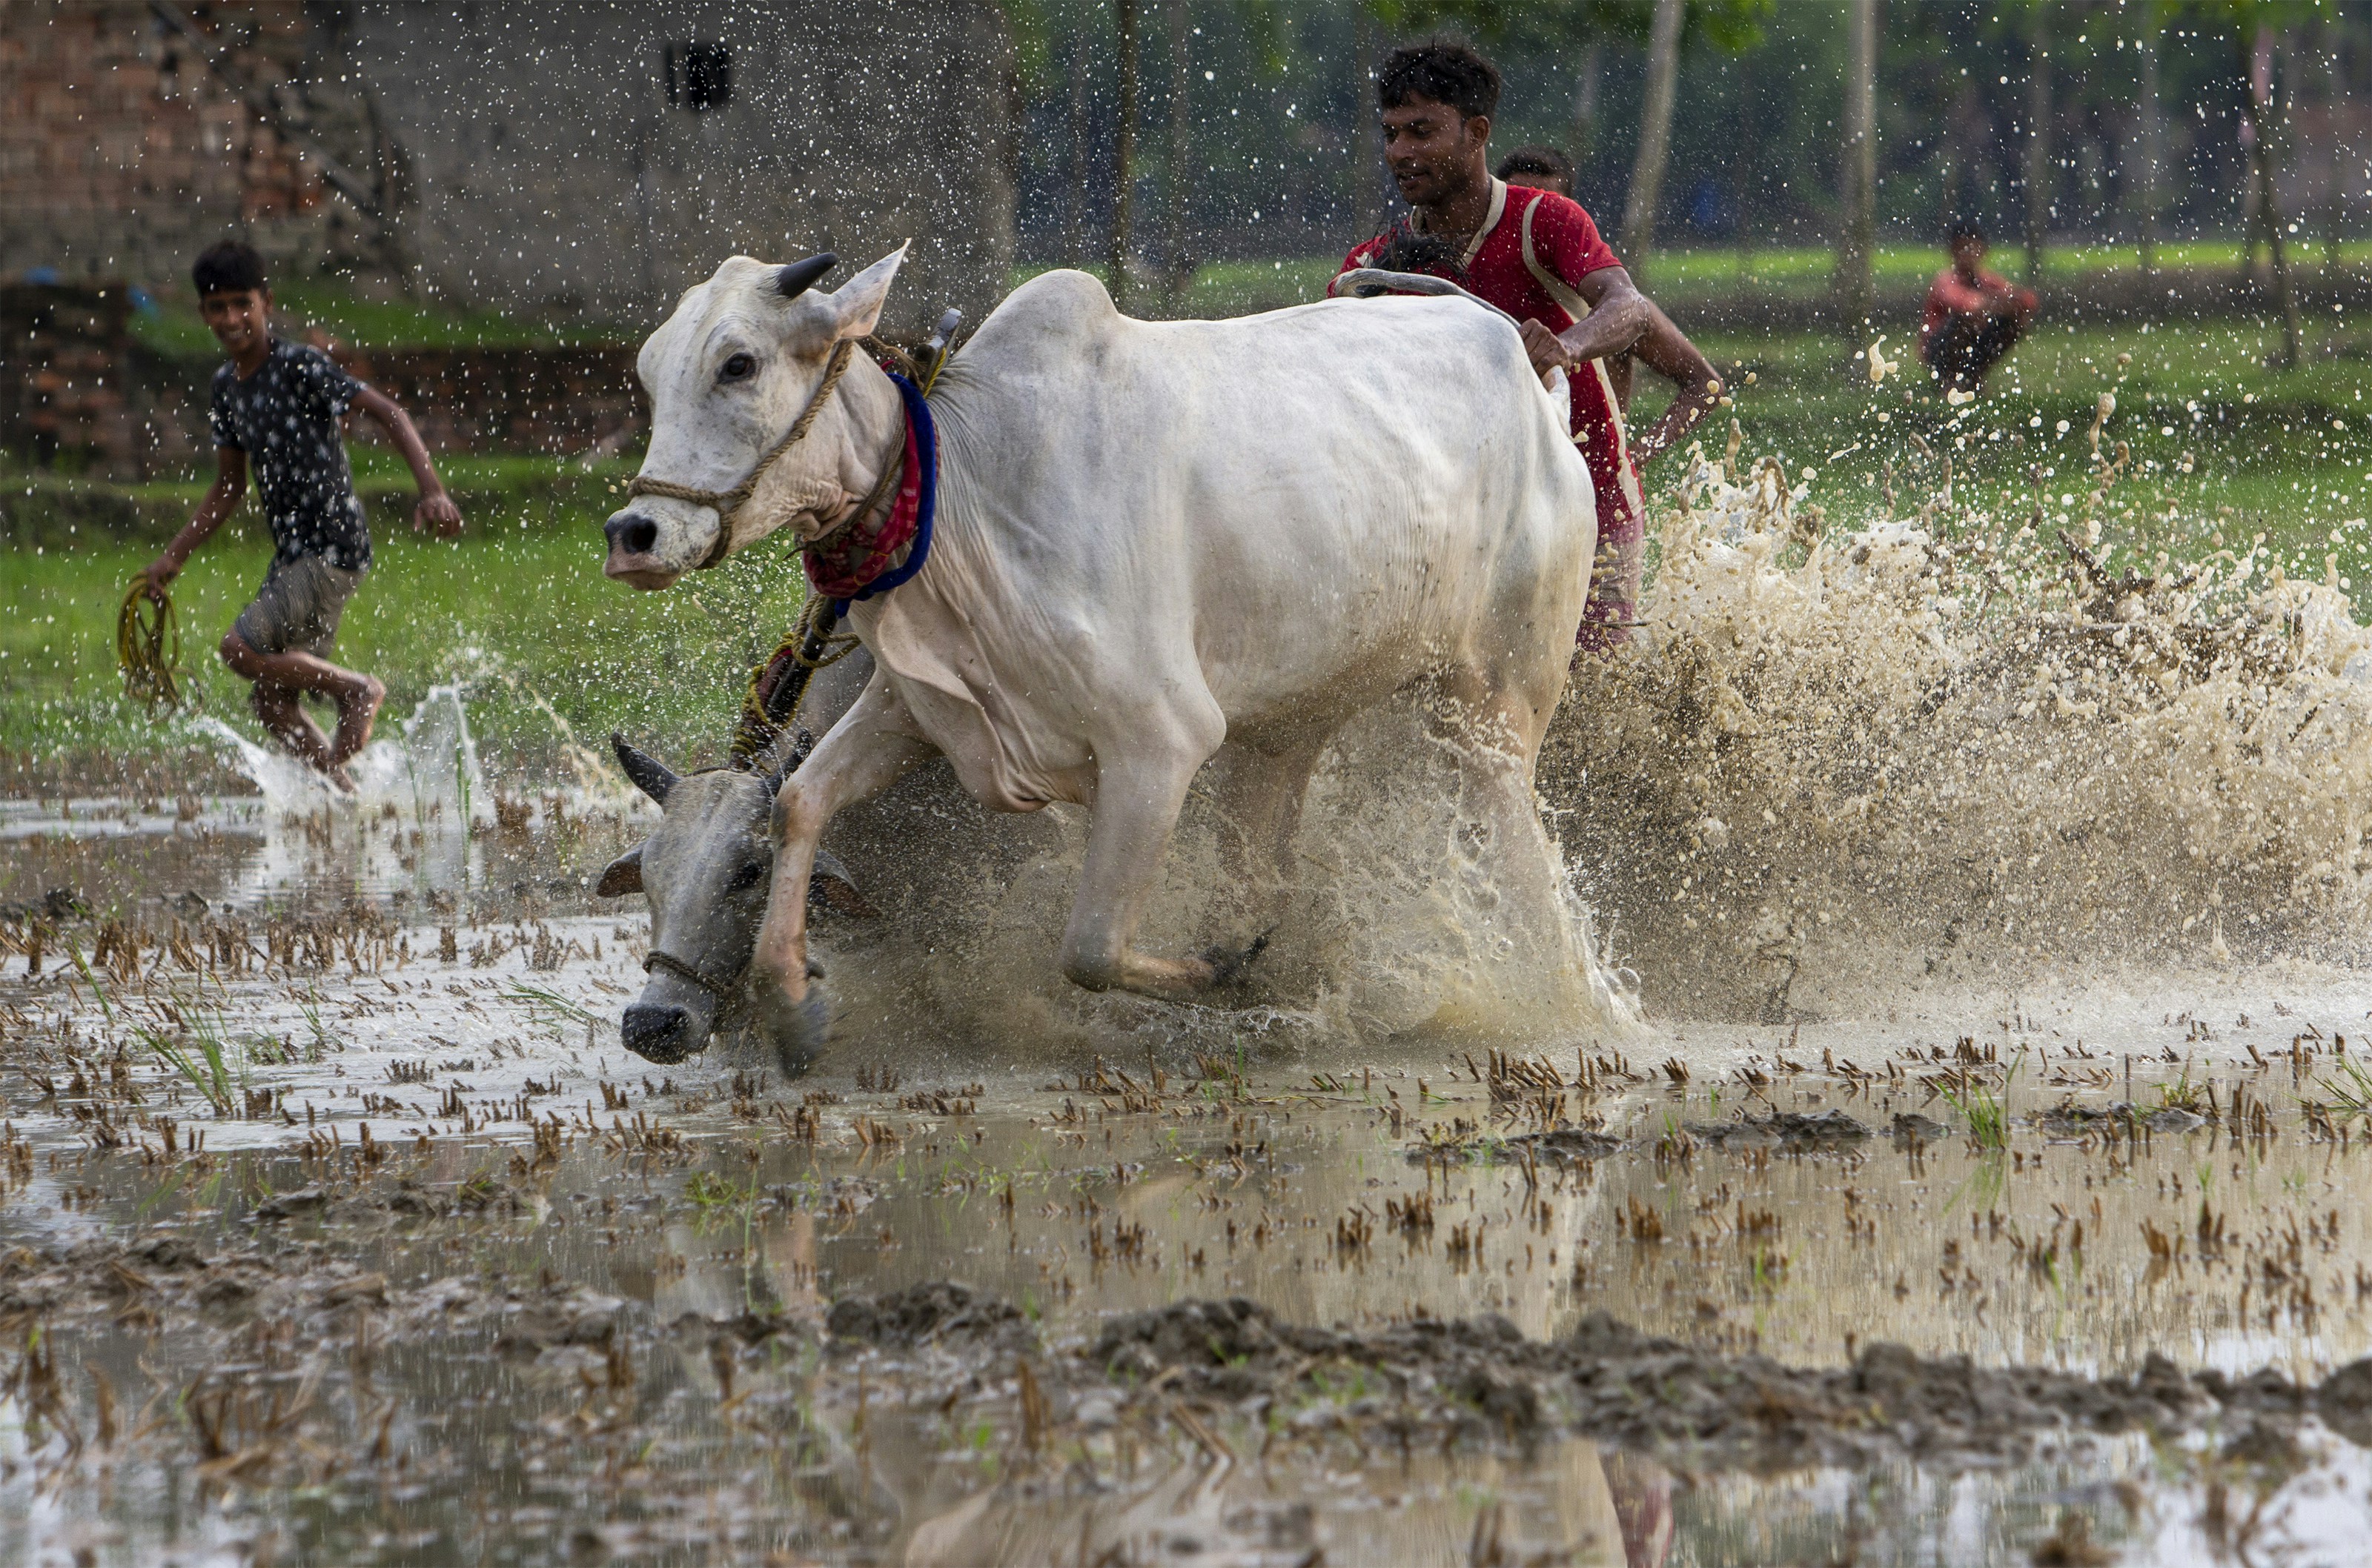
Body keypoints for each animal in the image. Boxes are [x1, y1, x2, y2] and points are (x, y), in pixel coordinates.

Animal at [601, 247, 1596, 1070]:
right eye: (649, 368)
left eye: (738, 362)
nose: (632, 534)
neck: (964, 487)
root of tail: (1536, 384)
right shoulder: (918, 709)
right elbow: (802, 801)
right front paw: (794, 1006)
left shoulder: (1160, 744)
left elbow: (1089, 949)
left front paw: (1223, 971)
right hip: (1285, 728)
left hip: (1494, 712)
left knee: (1531, 876)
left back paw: (1564, 1012)